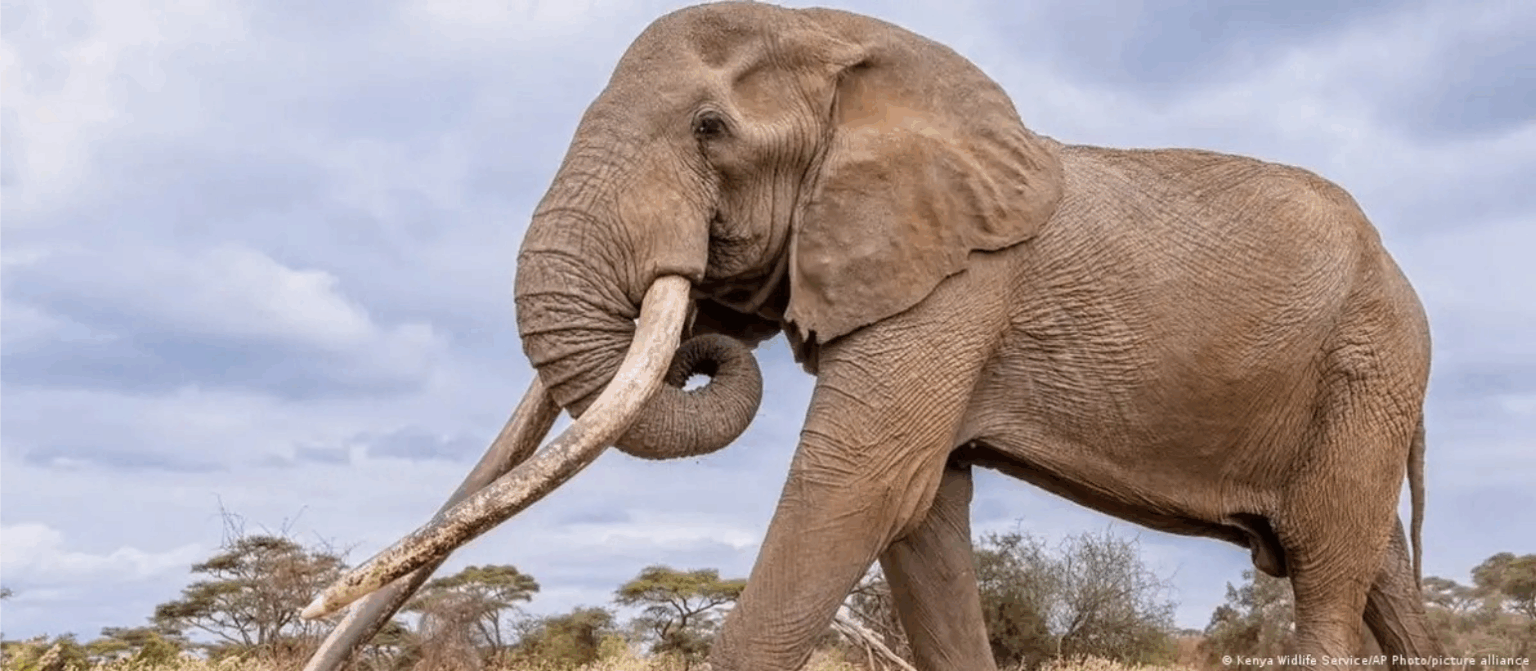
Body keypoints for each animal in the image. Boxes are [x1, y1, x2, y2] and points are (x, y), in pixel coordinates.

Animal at [298, 3, 1446, 670]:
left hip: (1370, 360)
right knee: (1375, 566)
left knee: (1328, 576)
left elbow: (855, 490)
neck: (850, 47)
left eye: (709, 131)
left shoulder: (956, 284)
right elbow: (920, 522)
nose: (701, 333)